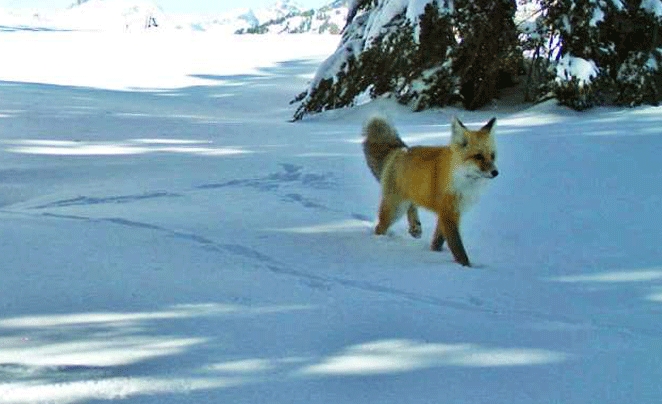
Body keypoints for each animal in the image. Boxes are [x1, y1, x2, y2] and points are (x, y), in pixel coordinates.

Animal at [362, 116, 498, 267]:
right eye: (478, 156)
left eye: (492, 156)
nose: (495, 172)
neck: (463, 182)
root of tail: (400, 150)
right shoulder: (448, 213)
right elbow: (458, 247)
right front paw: (466, 266)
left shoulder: (450, 212)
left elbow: (438, 241)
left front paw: (434, 252)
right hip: (395, 209)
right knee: (380, 227)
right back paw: (380, 241)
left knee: (412, 206)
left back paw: (415, 227)